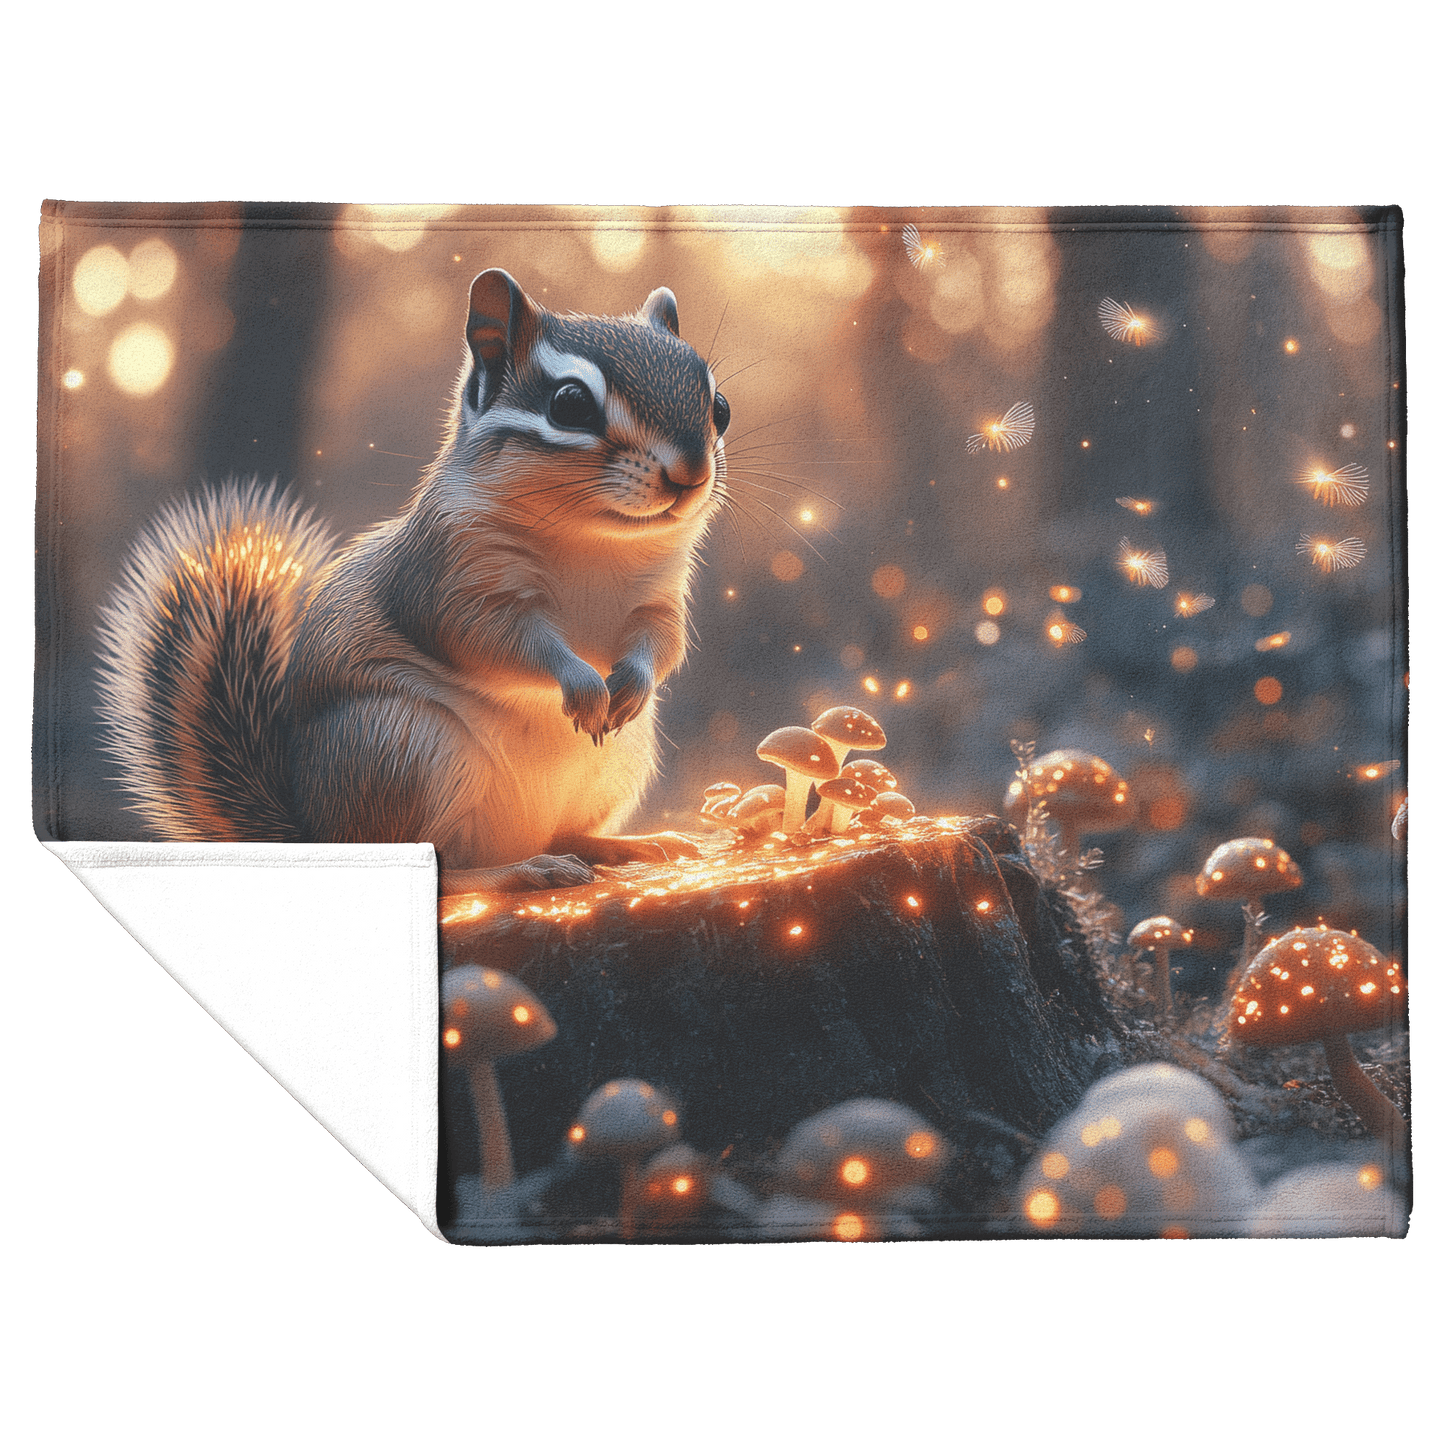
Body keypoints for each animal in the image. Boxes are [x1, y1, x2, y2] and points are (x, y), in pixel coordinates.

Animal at [97, 269, 729, 894]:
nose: (692, 473)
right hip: (407, 748)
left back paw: (629, 845)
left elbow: (663, 643)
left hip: (616, 760)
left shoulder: (659, 599)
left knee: (566, 833)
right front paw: (582, 683)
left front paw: (632, 682)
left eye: (718, 405)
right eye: (569, 404)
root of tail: (322, 837)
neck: (595, 539)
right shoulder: (450, 580)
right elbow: (493, 639)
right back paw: (522, 870)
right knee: (449, 868)